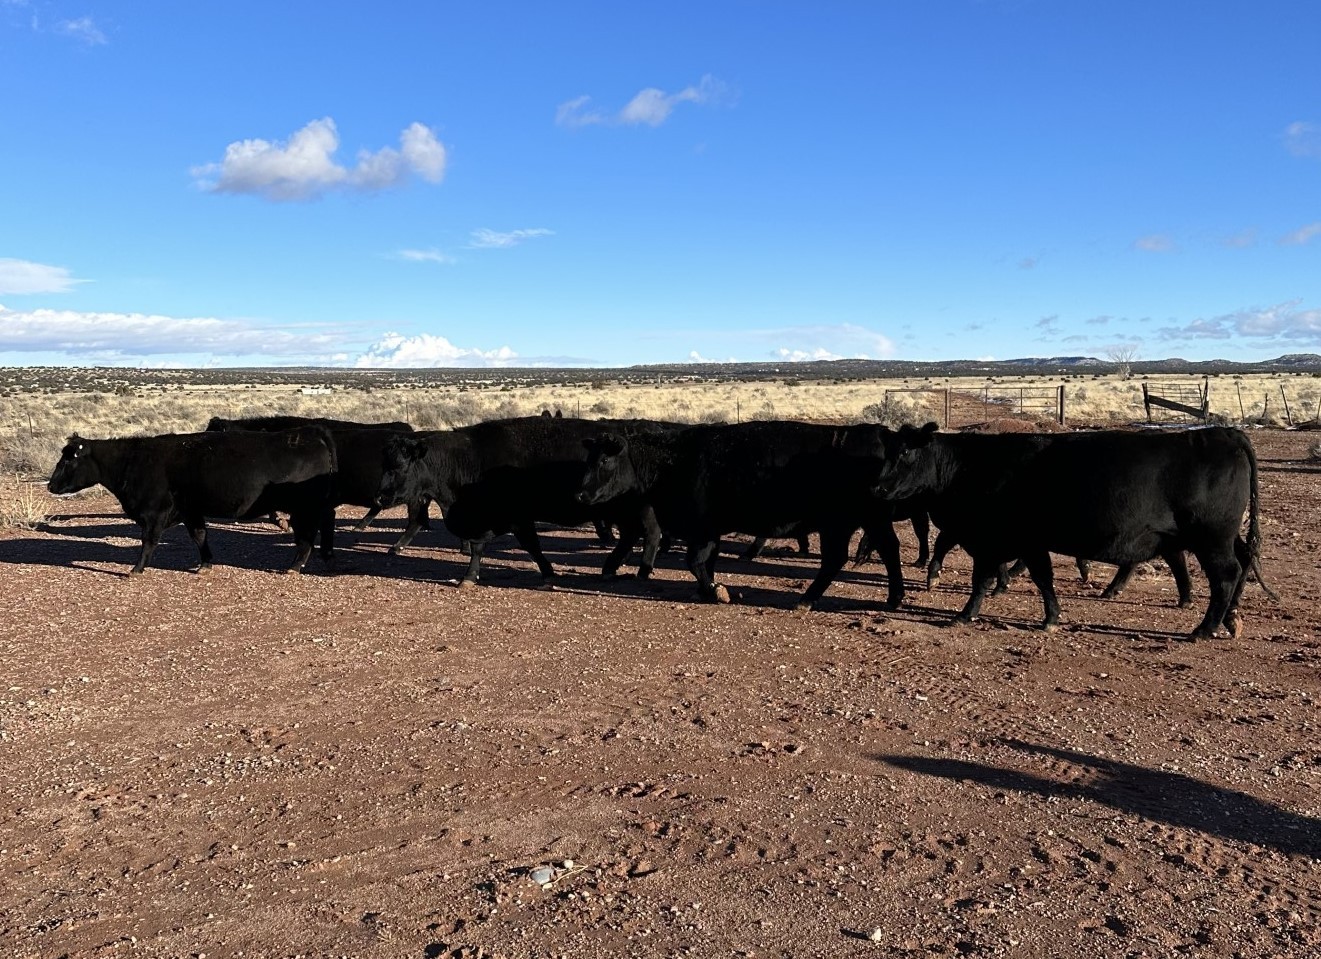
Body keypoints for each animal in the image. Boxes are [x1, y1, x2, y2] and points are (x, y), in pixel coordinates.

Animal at [47, 429, 337, 575]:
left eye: (69, 459)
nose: (50, 485)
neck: (133, 461)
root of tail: (313, 435)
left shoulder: (154, 513)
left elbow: (148, 541)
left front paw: (136, 569)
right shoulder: (190, 511)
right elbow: (199, 535)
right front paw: (206, 563)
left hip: (304, 509)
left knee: (307, 536)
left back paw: (295, 566)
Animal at [375, 416, 680, 586]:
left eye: (399, 466)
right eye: (384, 464)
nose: (380, 496)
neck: (469, 458)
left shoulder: (516, 517)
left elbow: (530, 545)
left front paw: (547, 573)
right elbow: (479, 547)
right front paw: (470, 576)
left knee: (649, 534)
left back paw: (639, 571)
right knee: (632, 534)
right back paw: (610, 568)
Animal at [575, 420, 912, 610]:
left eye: (604, 460)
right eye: (588, 458)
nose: (580, 494)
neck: (673, 459)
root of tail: (880, 433)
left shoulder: (702, 528)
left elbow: (694, 562)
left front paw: (716, 592)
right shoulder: (710, 531)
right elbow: (705, 562)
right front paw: (705, 590)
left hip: (848, 522)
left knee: (850, 556)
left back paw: (809, 599)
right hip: (856, 522)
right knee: (876, 551)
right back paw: (890, 597)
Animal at [873, 423, 1273, 639]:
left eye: (907, 452)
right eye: (887, 451)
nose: (878, 487)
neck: (973, 466)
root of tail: (1224, 432)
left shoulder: (998, 539)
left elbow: (988, 578)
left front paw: (965, 613)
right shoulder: (1021, 542)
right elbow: (1039, 577)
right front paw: (1050, 616)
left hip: (1211, 537)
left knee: (1226, 575)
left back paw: (1204, 628)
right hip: (1220, 536)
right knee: (1241, 562)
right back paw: (1231, 618)